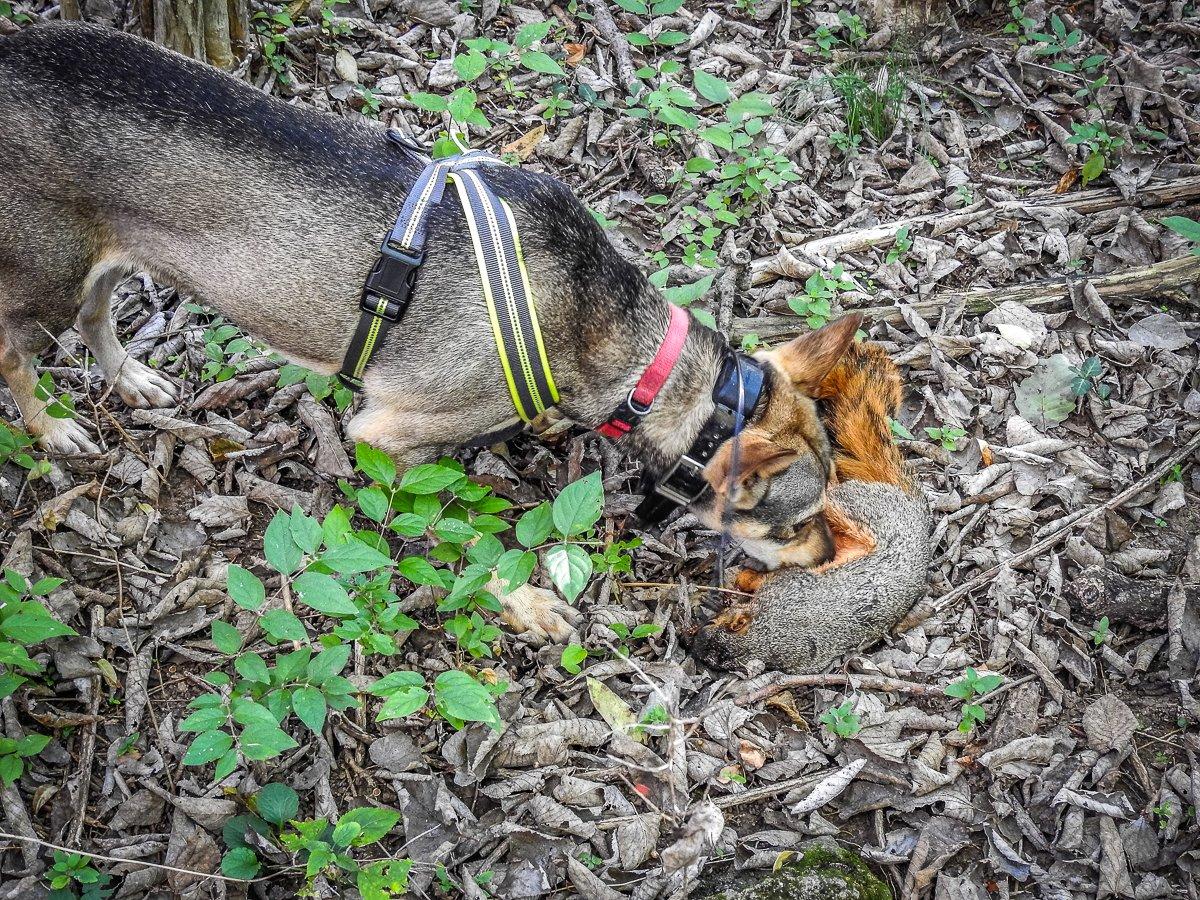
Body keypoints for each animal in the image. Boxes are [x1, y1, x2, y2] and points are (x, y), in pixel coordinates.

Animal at [2, 26, 864, 633]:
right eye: (797, 523)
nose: (836, 557)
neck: (620, 342)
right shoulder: (385, 437)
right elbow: (453, 538)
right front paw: (523, 603)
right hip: (43, 282)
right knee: (15, 355)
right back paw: (53, 431)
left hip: (102, 257)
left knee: (96, 314)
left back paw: (132, 378)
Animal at [691, 340, 931, 676]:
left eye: (722, 625)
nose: (694, 644)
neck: (771, 635)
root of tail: (911, 502)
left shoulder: (787, 588)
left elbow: (771, 578)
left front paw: (743, 579)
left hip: (859, 507)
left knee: (834, 497)